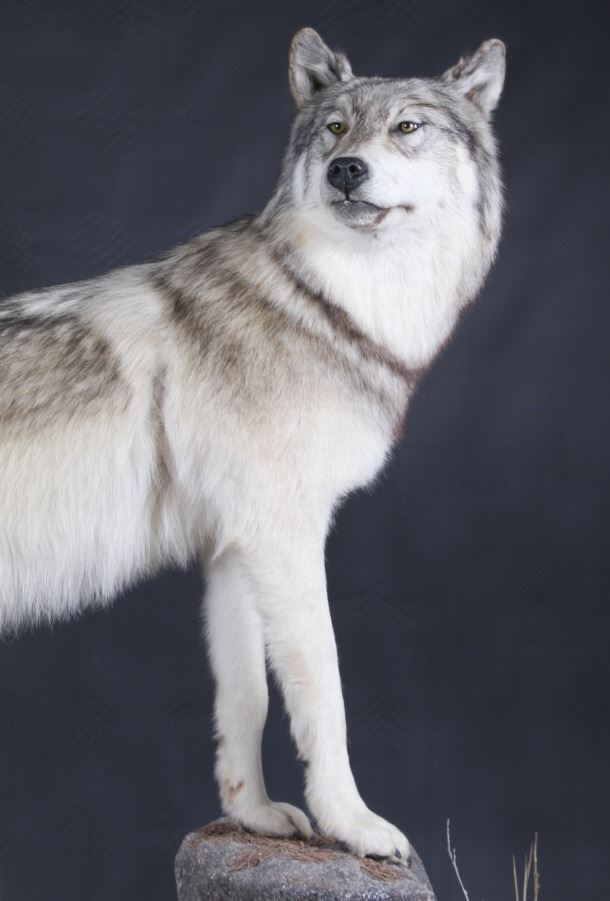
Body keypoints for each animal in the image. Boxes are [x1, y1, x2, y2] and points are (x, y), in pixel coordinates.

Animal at [0, 28, 505, 862]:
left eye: (406, 127)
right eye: (335, 129)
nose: (345, 170)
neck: (324, 304)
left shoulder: (234, 548)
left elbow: (246, 696)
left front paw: (254, 814)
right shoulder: (286, 537)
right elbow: (323, 693)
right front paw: (353, 823)